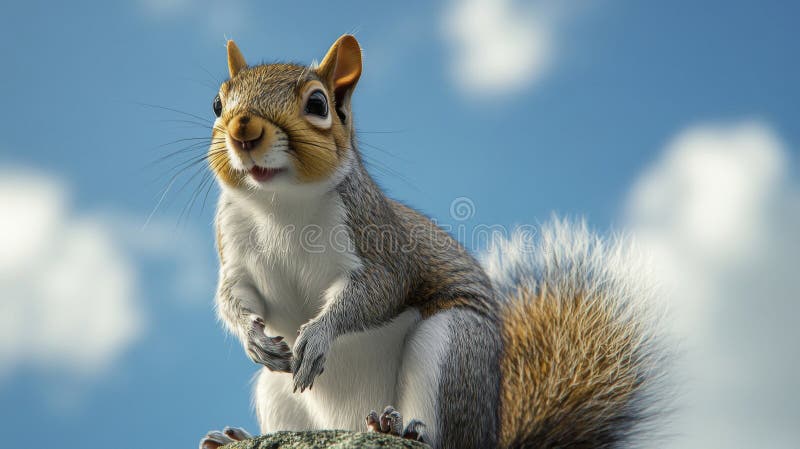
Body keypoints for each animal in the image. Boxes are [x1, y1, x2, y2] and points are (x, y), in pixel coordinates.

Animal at [199, 35, 669, 449]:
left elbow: (380, 289)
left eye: (318, 104)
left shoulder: (377, 240)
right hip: (274, 390)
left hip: (452, 347)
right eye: (218, 104)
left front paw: (318, 333)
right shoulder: (234, 252)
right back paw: (237, 437)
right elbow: (231, 296)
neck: (278, 204)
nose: (243, 130)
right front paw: (251, 336)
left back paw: (400, 429)